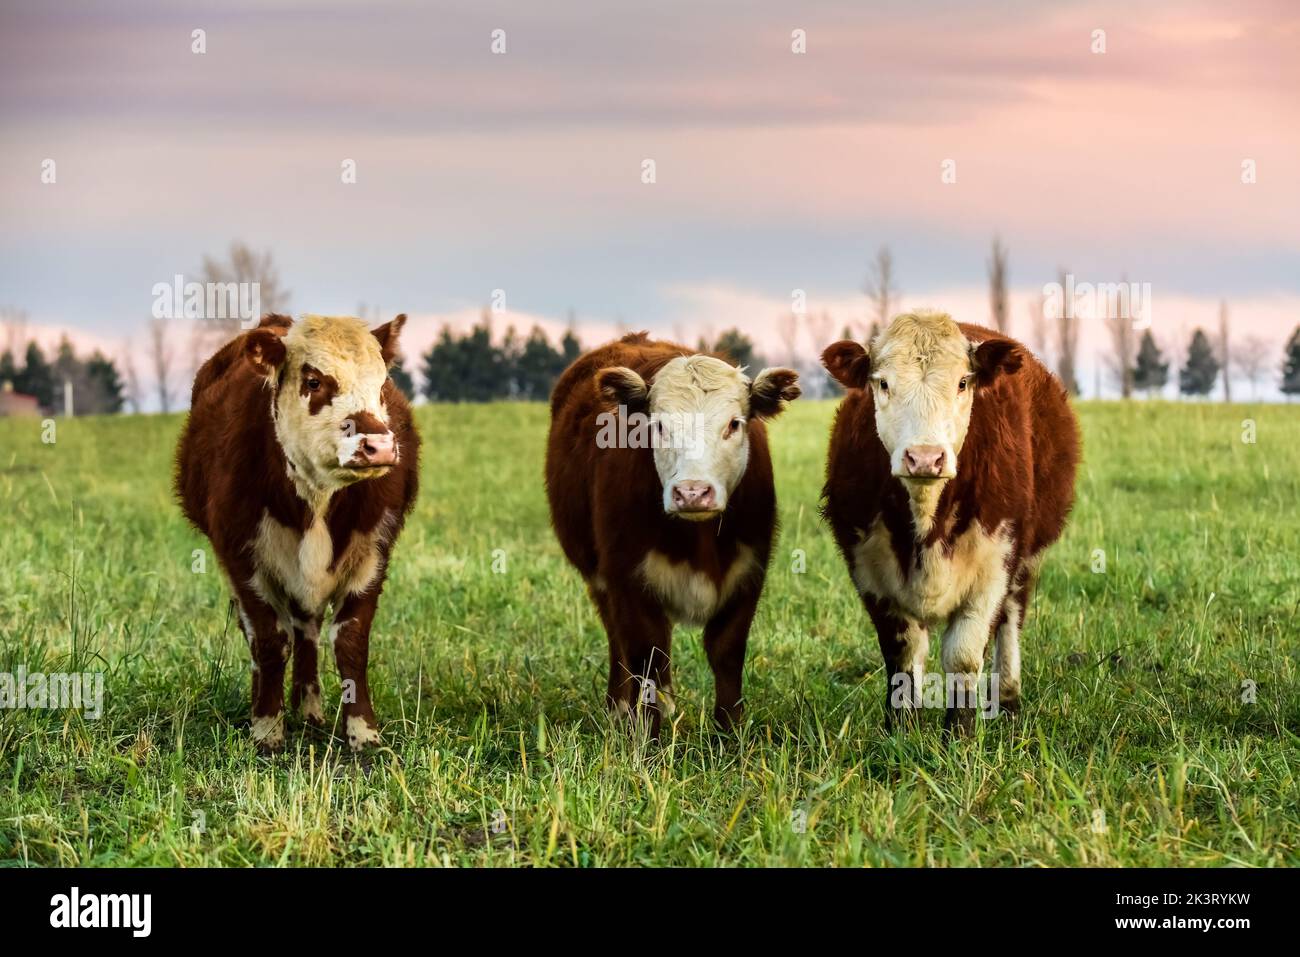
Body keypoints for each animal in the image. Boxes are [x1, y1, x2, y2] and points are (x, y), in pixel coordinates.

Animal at [176, 313, 420, 751]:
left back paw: (309, 710)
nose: (377, 445)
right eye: (314, 381)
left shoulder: (373, 553)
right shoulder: (242, 558)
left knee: (307, 630)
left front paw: (363, 734)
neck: (316, 498)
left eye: (381, 387)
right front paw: (267, 730)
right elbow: (270, 640)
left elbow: (350, 641)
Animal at [545, 333, 800, 736]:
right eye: (660, 426)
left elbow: (727, 654)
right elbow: (645, 656)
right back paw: (620, 709)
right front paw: (646, 739)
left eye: (734, 424)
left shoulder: (748, 573)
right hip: (599, 580)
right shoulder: (627, 578)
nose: (693, 492)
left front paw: (729, 737)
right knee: (620, 642)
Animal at [820, 311, 1079, 732]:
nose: (925, 458)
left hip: (1026, 560)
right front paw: (900, 731)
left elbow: (963, 657)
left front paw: (959, 735)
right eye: (883, 383)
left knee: (1012, 617)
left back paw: (1009, 700)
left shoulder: (994, 566)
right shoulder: (869, 570)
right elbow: (903, 654)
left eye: (962, 382)